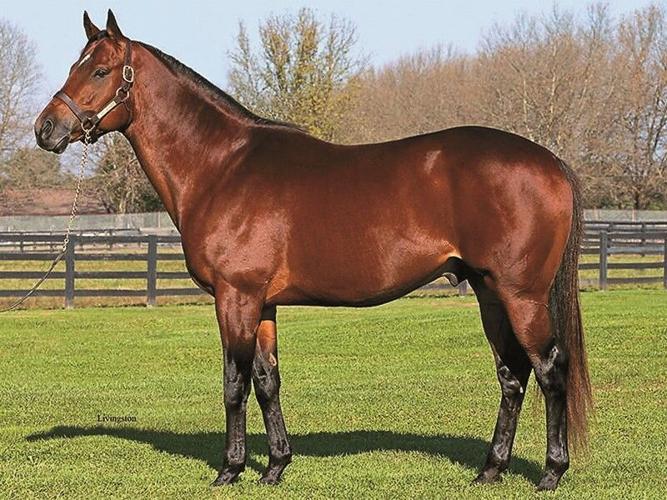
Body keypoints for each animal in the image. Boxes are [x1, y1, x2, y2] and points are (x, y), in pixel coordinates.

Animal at [34, 10, 592, 491]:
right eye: (74, 65)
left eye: (100, 70)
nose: (46, 129)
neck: (222, 167)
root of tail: (549, 162)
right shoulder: (261, 304)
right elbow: (267, 380)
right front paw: (275, 466)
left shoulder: (234, 297)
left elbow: (234, 381)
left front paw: (229, 470)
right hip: (489, 292)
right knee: (512, 375)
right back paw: (490, 471)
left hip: (520, 294)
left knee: (550, 369)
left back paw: (550, 473)